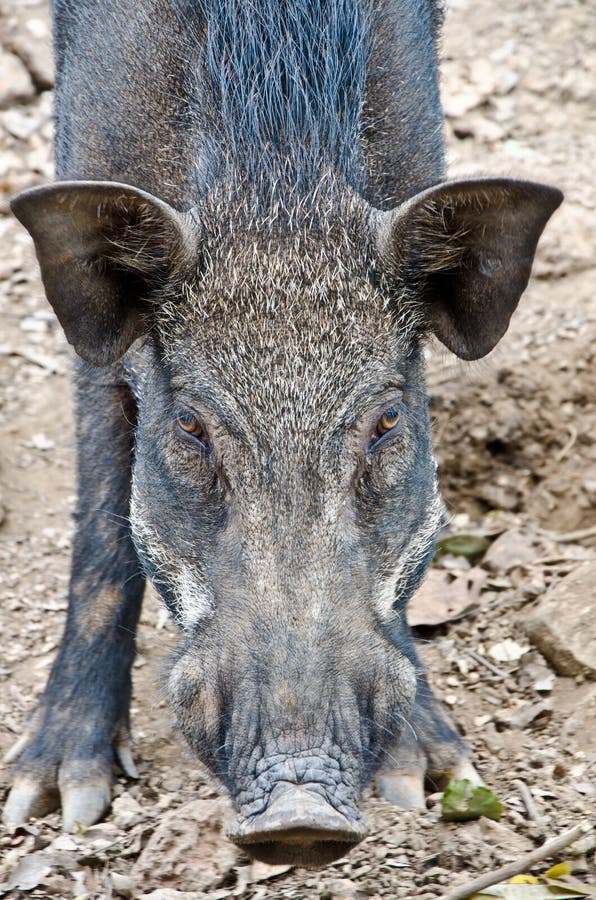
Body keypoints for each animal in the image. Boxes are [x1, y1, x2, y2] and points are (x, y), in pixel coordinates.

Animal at [3, 0, 561, 867]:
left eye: (387, 420)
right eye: (191, 426)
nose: (301, 817)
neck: (278, 184)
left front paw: (428, 781)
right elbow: (101, 507)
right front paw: (59, 803)